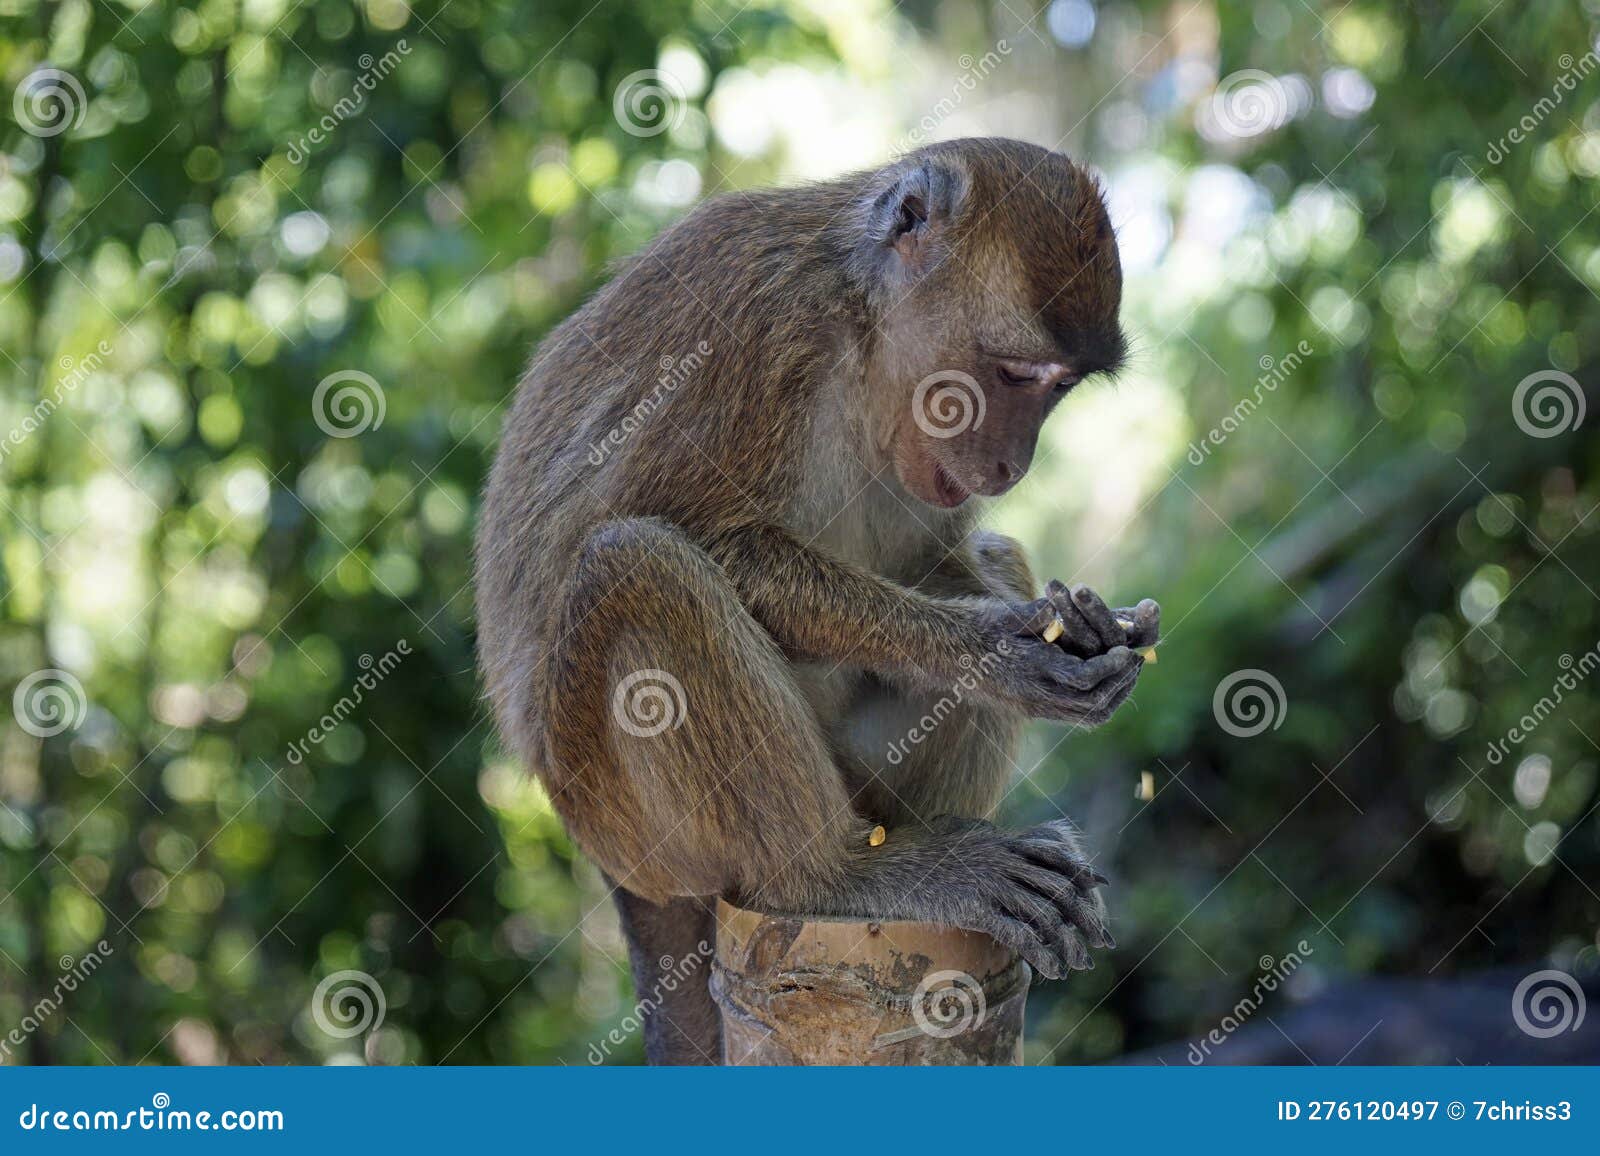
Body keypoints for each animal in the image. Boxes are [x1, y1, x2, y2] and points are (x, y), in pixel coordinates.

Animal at [475, 137, 1160, 1065]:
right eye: (1014, 374)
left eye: (1058, 389)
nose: (1013, 463)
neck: (862, 335)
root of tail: (619, 875)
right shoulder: (752, 326)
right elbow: (683, 526)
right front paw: (992, 650)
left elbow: (941, 555)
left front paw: (1079, 629)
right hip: (621, 817)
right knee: (636, 568)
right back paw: (842, 875)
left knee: (995, 556)